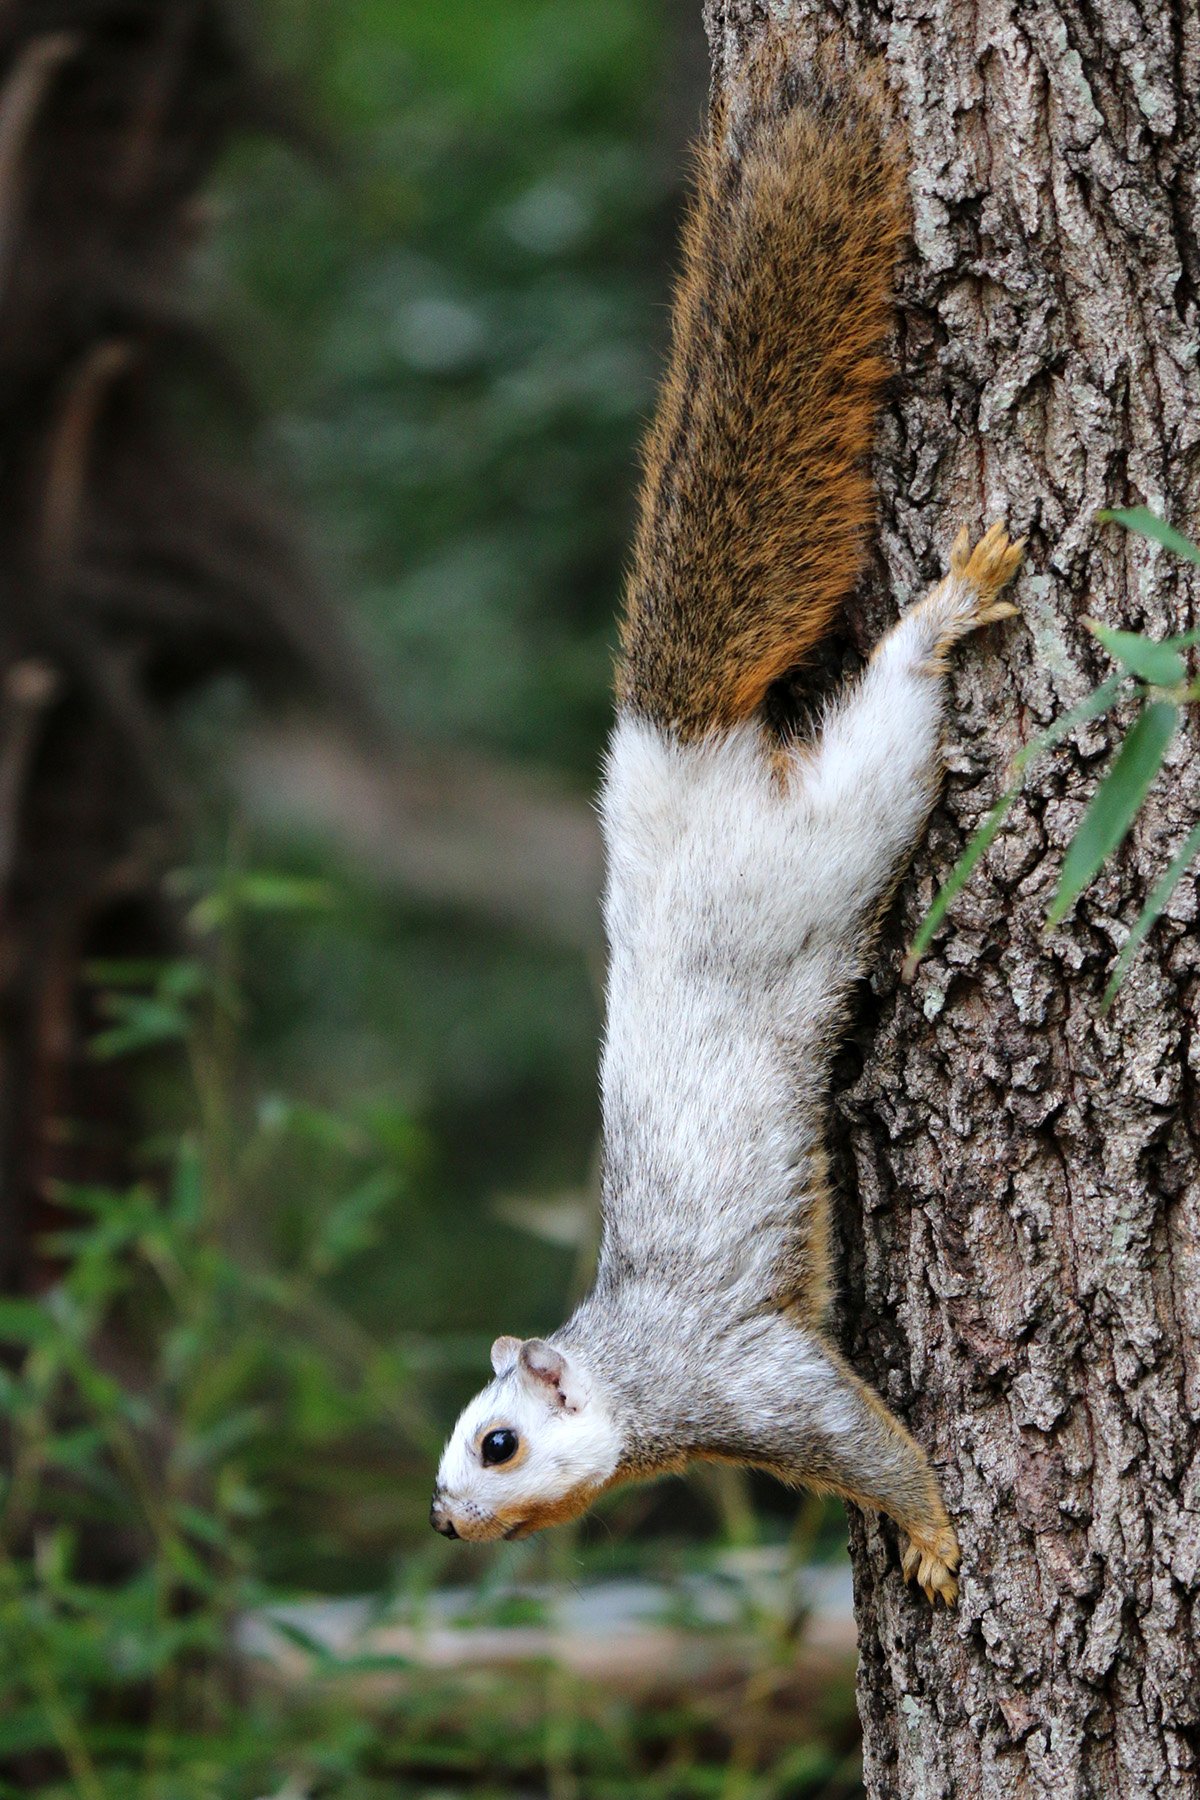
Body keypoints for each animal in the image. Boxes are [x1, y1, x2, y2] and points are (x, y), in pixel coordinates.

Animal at [431, 27, 1023, 1606]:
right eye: (451, 1451)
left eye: (499, 1442)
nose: (443, 1519)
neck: (640, 1380)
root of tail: (661, 769)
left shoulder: (753, 1375)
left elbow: (868, 1440)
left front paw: (932, 1536)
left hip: (839, 824)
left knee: (893, 709)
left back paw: (949, 608)